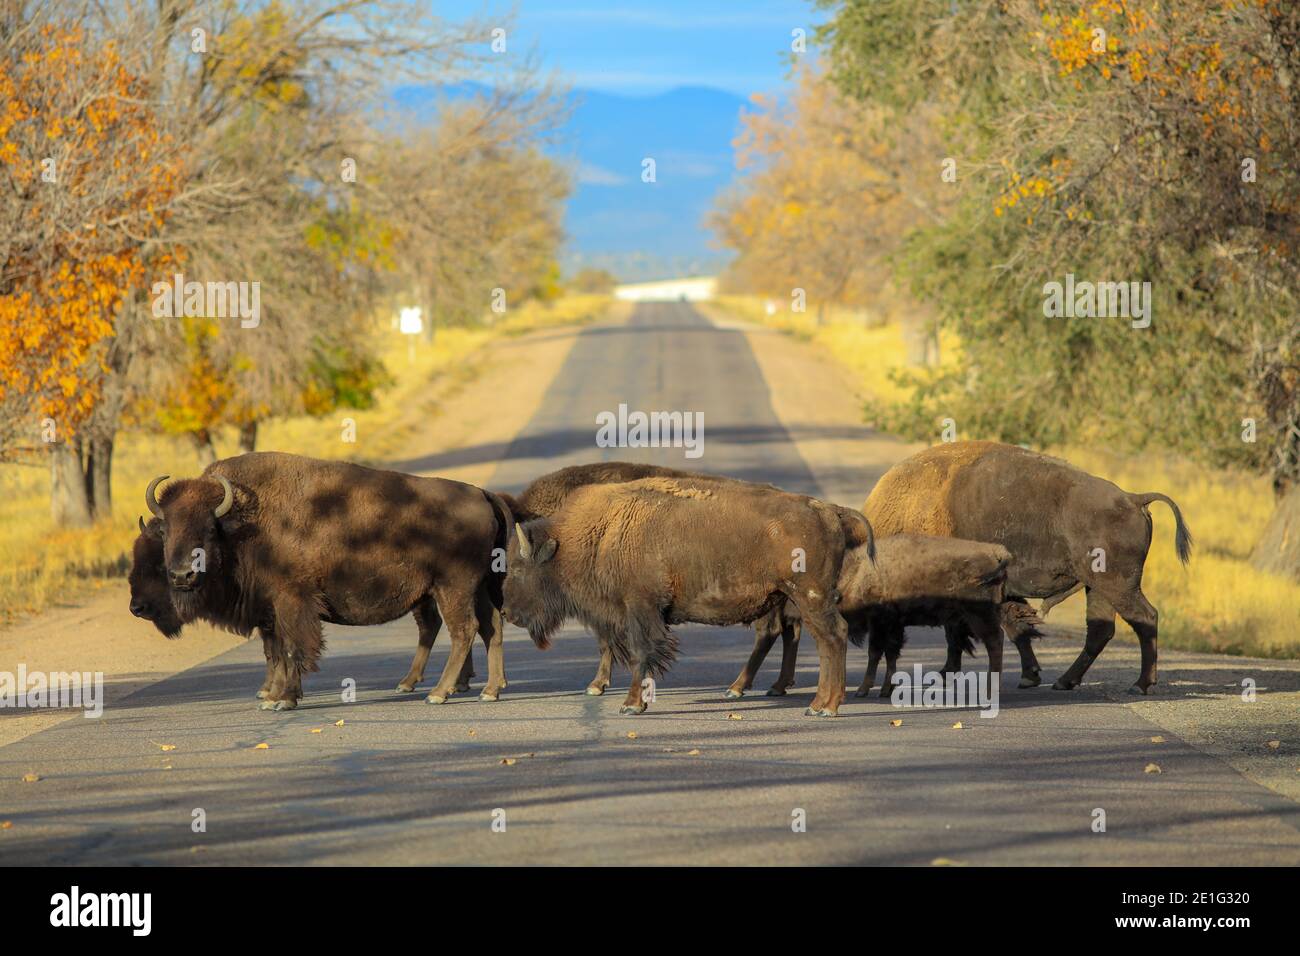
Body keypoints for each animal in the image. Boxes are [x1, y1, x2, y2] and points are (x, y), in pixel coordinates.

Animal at [864, 441, 1191, 694]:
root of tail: (1134, 499)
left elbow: (964, 631)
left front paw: (947, 673)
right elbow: (1015, 627)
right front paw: (1029, 675)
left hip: (1118, 585)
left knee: (1144, 618)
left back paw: (1140, 684)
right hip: (1097, 586)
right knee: (1101, 628)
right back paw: (1065, 681)